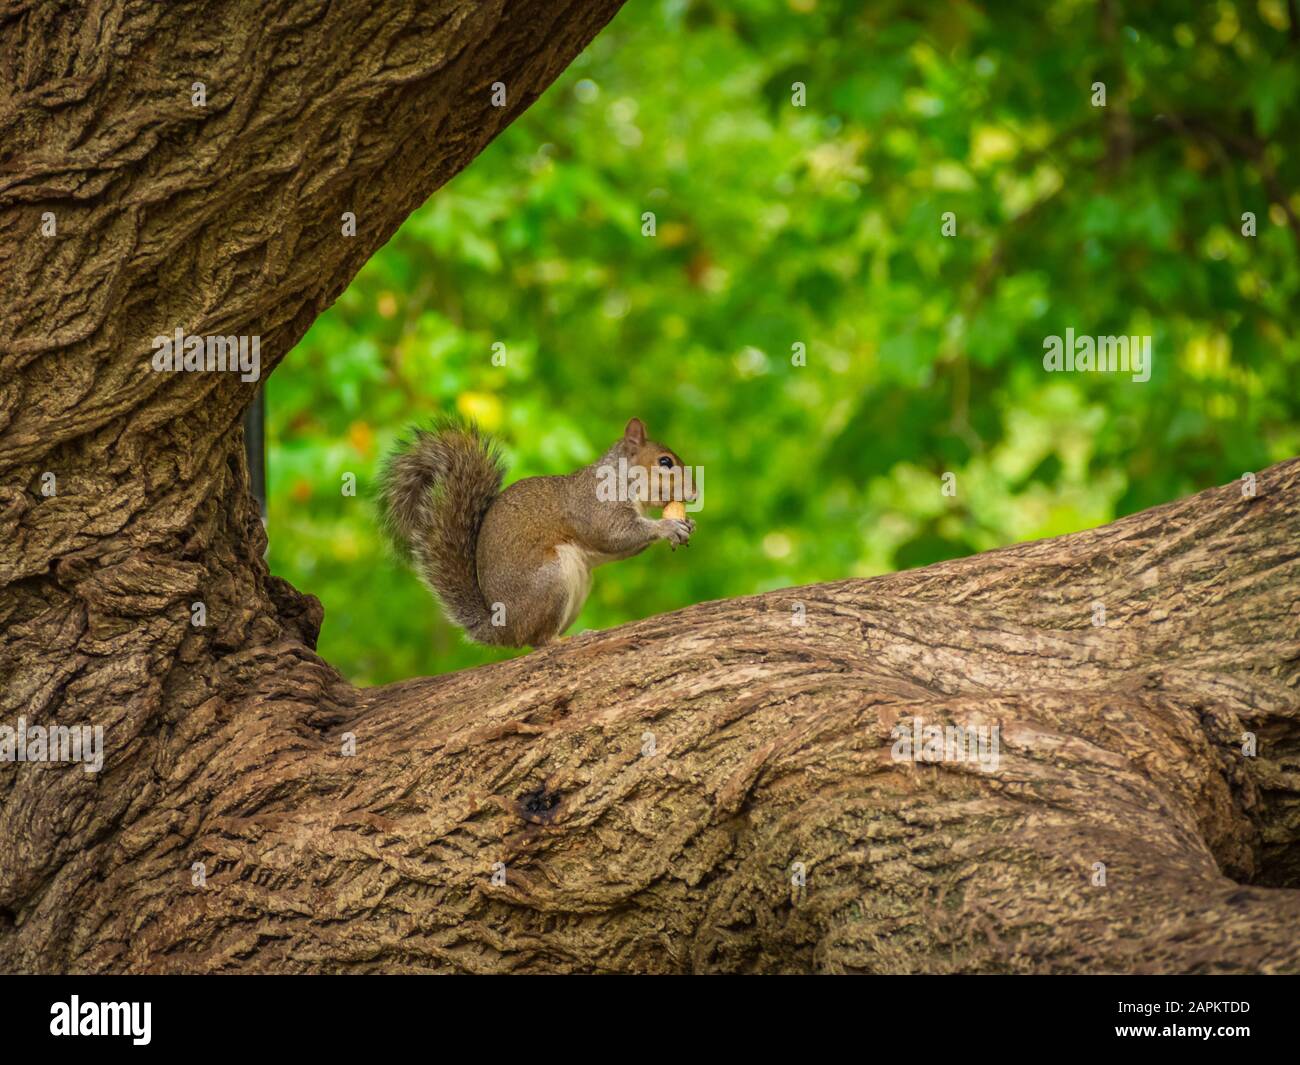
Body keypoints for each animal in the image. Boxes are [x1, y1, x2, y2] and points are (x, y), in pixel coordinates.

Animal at [378, 417, 697, 648]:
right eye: (665, 462)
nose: (694, 493)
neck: (621, 478)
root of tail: (502, 627)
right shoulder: (596, 508)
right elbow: (615, 535)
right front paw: (667, 527)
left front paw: (687, 524)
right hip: (551, 580)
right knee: (539, 640)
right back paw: (567, 639)